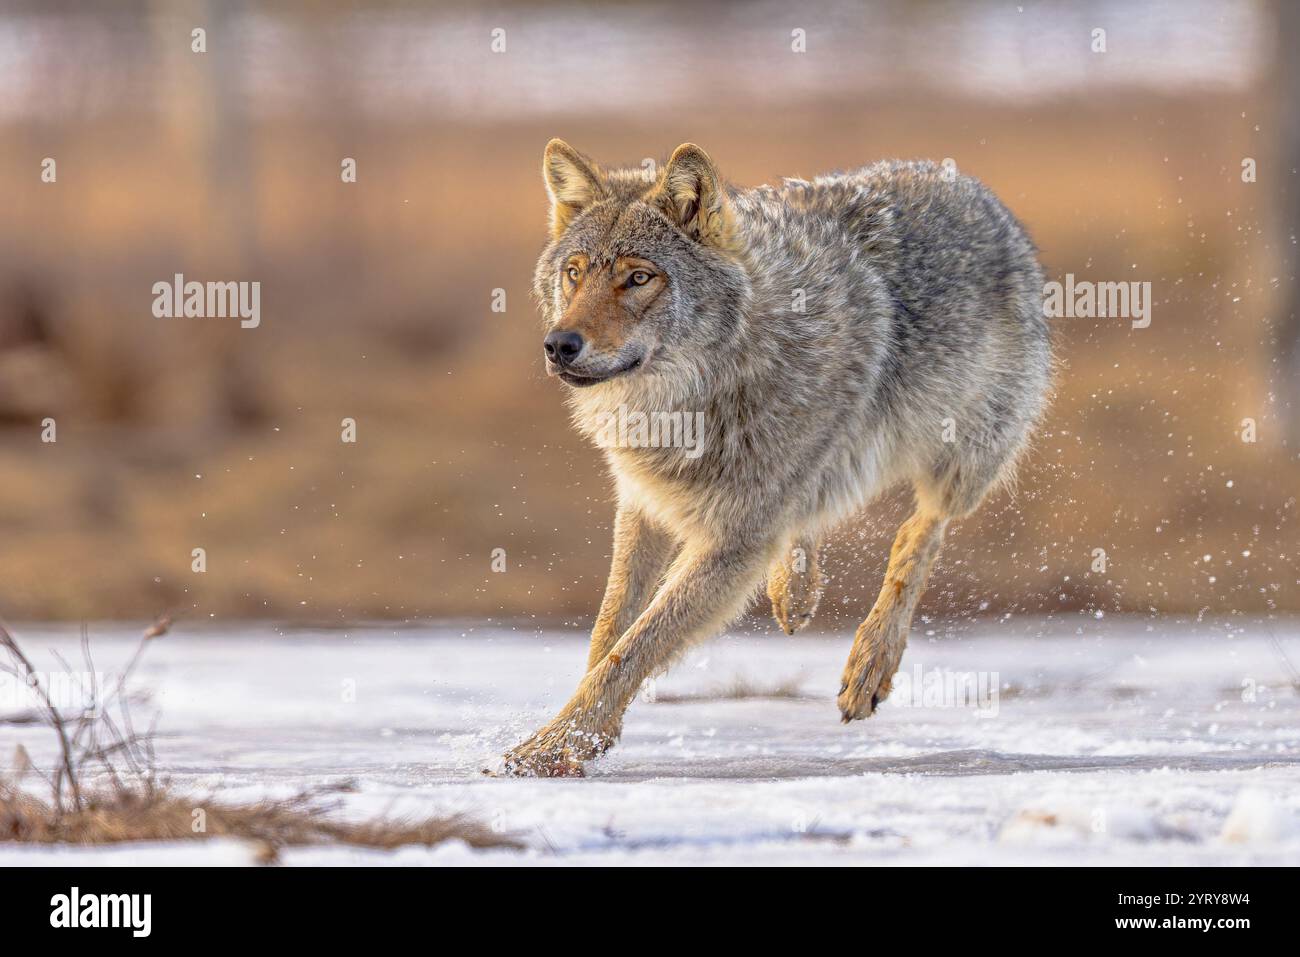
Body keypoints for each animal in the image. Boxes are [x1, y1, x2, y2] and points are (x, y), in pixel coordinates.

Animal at [505, 140, 1051, 776]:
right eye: (574, 273)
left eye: (639, 278)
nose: (559, 345)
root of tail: (971, 187)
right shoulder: (645, 505)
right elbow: (606, 636)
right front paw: (583, 738)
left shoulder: (732, 543)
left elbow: (634, 647)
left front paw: (549, 750)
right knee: (813, 520)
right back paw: (796, 594)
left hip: (960, 463)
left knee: (920, 532)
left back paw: (869, 664)